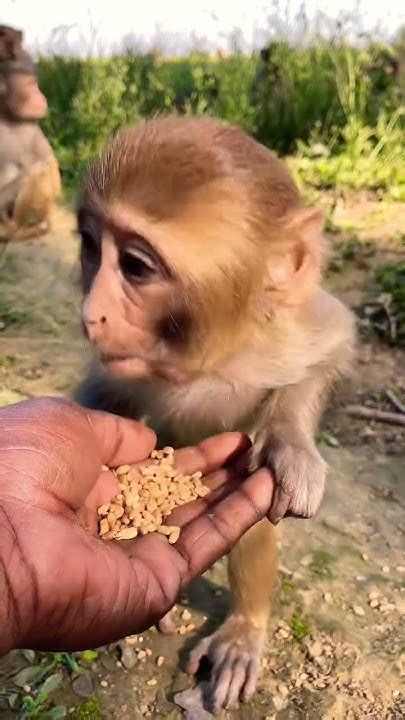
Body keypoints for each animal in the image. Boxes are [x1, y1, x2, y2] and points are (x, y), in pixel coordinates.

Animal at [0, 25, 61, 242]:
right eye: (30, 82)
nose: (40, 95)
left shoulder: (30, 126)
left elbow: (47, 165)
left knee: (38, 171)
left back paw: (13, 229)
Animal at [74, 116, 356, 712]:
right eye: (89, 247)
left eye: (135, 266)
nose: (91, 314)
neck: (199, 364)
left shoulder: (281, 331)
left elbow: (333, 340)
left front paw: (290, 442)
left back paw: (244, 629)